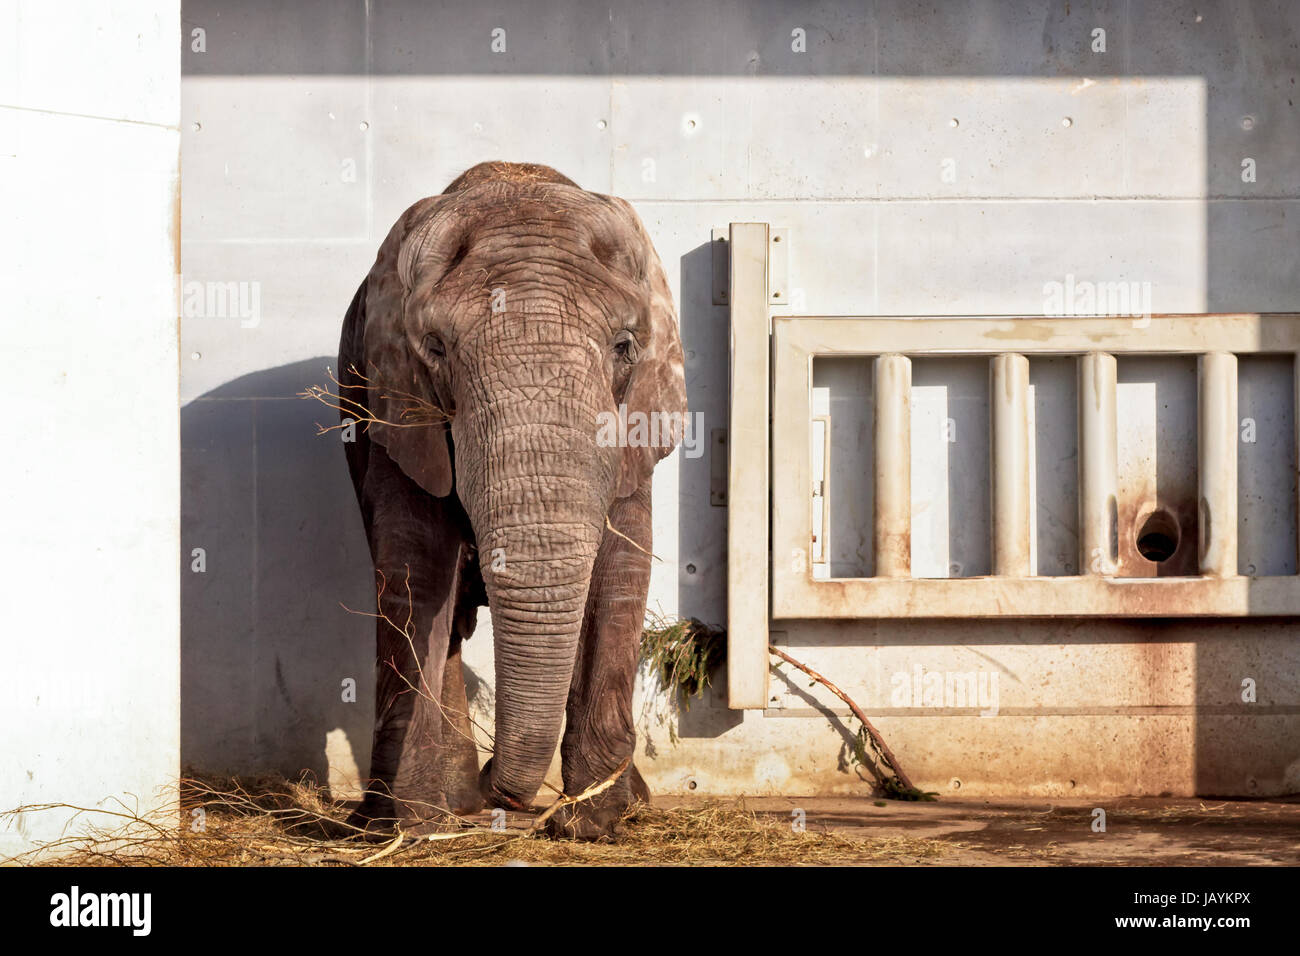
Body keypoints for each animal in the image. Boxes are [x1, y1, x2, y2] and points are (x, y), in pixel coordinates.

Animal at [336, 161, 687, 840]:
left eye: (625, 345)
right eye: (436, 347)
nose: (501, 786)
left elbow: (619, 569)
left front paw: (596, 822)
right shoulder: (393, 401)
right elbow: (416, 563)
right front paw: (410, 824)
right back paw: (429, 811)